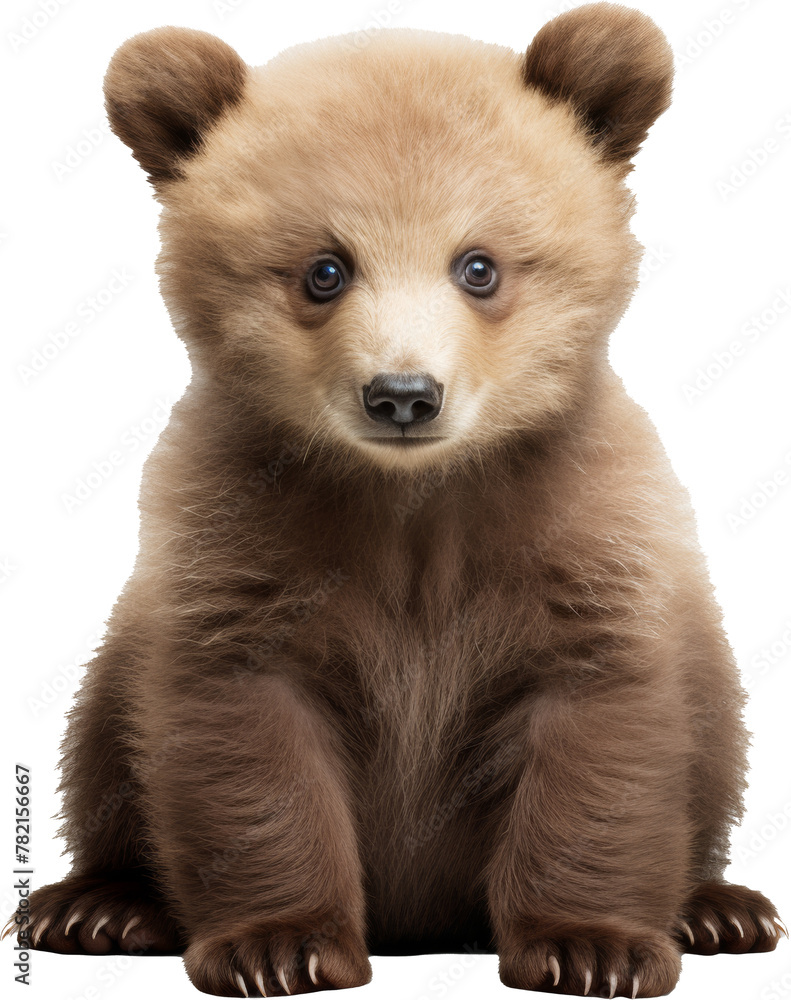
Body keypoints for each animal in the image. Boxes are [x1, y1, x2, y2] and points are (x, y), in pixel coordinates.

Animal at [4, 3, 785, 997]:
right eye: (324, 269)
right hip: (118, 667)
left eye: (478, 265)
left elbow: (599, 740)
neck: (412, 499)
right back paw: (99, 905)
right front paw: (279, 945)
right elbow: (245, 745)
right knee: (102, 741)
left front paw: (591, 947)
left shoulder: (583, 537)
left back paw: (719, 908)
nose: (403, 395)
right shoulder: (237, 543)